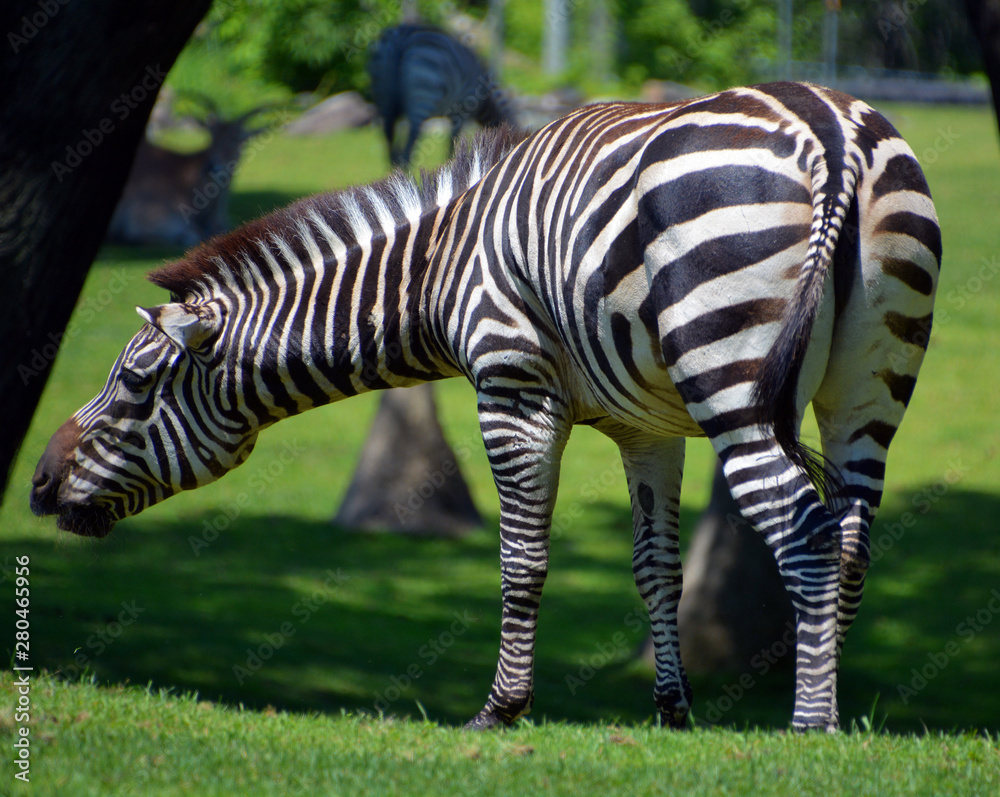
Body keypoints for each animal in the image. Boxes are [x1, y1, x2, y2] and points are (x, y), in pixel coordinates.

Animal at [31, 82, 940, 732]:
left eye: (135, 381)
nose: (40, 484)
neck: (440, 263)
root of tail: (831, 130)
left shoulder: (513, 388)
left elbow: (521, 559)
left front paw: (501, 709)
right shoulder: (649, 426)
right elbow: (656, 566)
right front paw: (672, 712)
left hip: (734, 382)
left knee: (806, 532)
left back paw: (809, 724)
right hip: (869, 388)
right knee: (852, 538)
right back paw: (833, 709)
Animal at [367, 24, 516, 168]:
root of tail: (401, 39)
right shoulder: (461, 111)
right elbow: (453, 142)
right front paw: (452, 163)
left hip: (384, 98)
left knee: (390, 144)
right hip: (422, 91)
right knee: (409, 147)